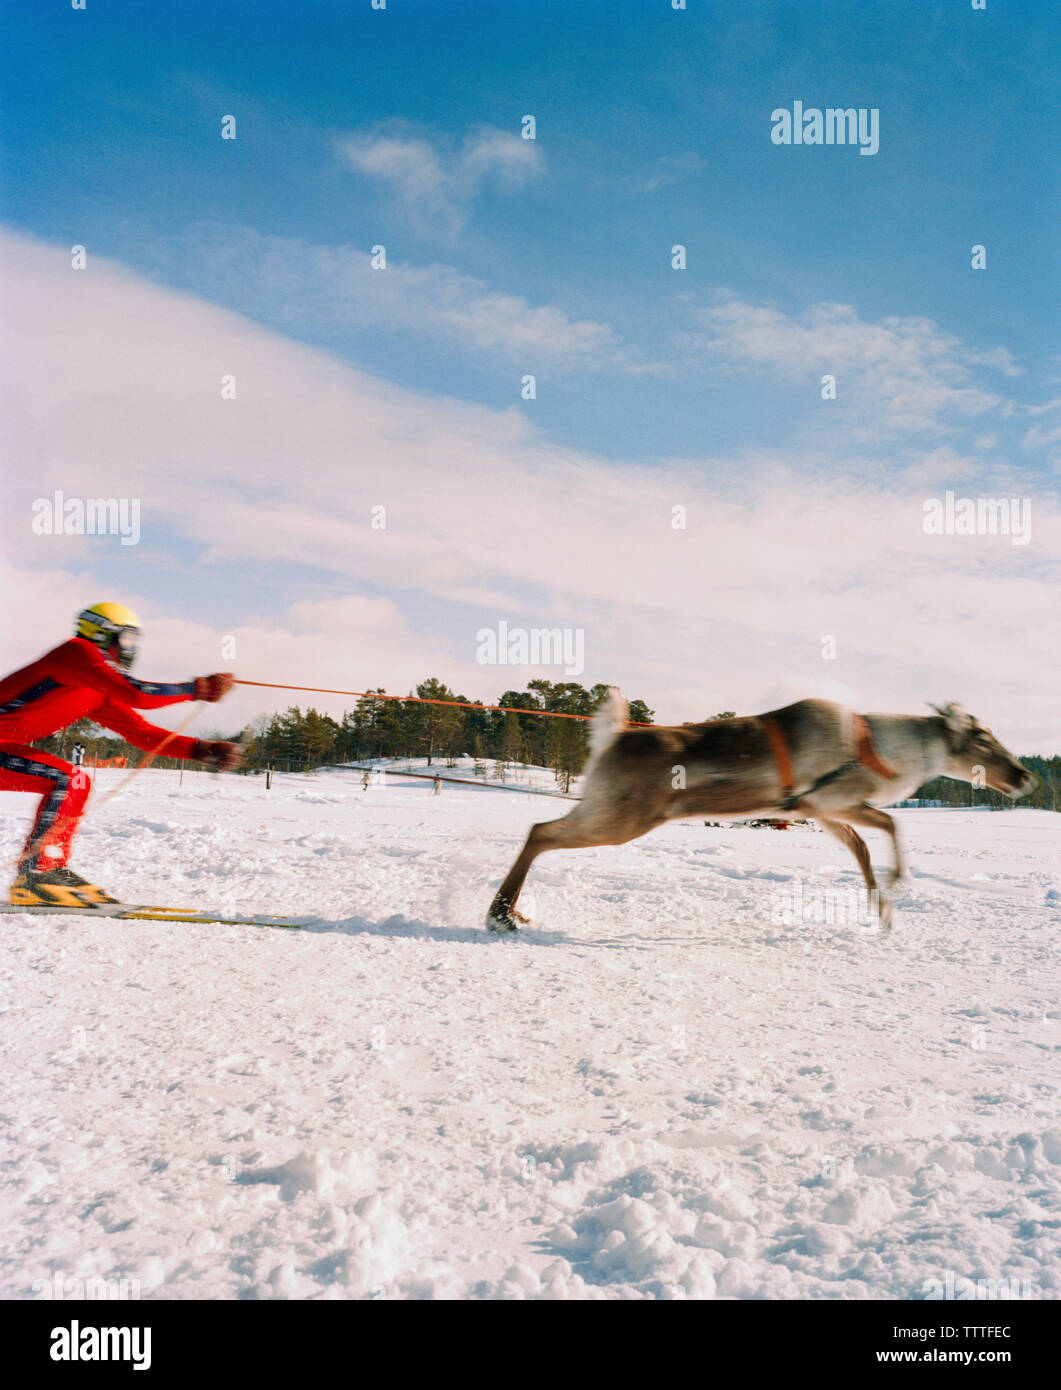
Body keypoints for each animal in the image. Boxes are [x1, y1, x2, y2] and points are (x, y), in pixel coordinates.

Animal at [486, 692, 1035, 933]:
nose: (1026, 777)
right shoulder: (835, 801)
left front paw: (879, 906)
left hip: (609, 811)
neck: (883, 750)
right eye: (984, 739)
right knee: (540, 831)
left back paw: (508, 911)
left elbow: (861, 848)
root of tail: (613, 736)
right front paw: (896, 885)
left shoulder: (821, 810)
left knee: (540, 830)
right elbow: (891, 824)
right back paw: (501, 913)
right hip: (622, 819)